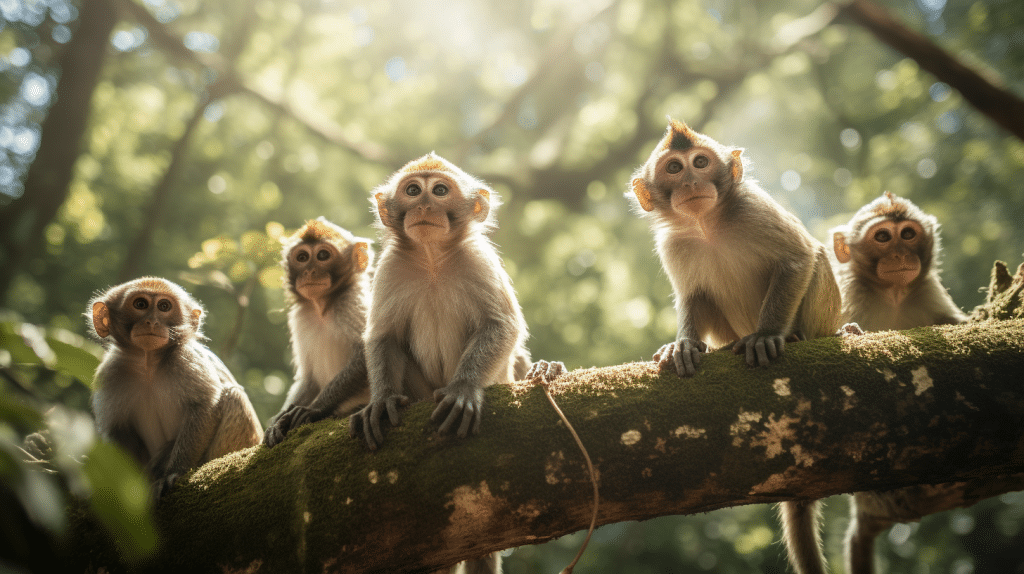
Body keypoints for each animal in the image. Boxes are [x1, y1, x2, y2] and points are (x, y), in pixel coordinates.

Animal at [88, 277, 262, 498]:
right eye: (140, 304)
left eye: (164, 306)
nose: (152, 321)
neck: (148, 364)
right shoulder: (110, 374)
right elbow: (117, 431)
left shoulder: (186, 359)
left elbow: (205, 406)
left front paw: (174, 472)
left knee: (234, 396)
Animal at [263, 217, 373, 447]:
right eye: (302, 257)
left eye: (323, 255)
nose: (310, 272)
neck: (322, 306)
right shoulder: (299, 318)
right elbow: (307, 377)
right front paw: (277, 422)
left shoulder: (351, 303)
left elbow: (365, 355)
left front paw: (313, 410)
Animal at [349, 153, 563, 574]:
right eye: (412, 190)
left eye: (439, 190)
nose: (423, 207)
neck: (432, 256)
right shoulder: (390, 268)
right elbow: (383, 338)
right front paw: (381, 401)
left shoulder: (479, 261)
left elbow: (502, 325)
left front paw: (464, 390)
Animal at [627, 119, 841, 574]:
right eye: (674, 168)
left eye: (700, 162)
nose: (691, 181)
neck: (708, 224)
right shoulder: (674, 245)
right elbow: (692, 296)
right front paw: (682, 346)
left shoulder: (756, 210)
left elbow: (799, 258)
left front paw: (767, 336)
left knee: (815, 260)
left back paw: (795, 336)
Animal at [831, 192, 967, 574]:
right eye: (882, 237)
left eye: (907, 234)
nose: (899, 254)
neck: (892, 294)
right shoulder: (849, 293)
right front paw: (850, 332)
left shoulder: (930, 291)